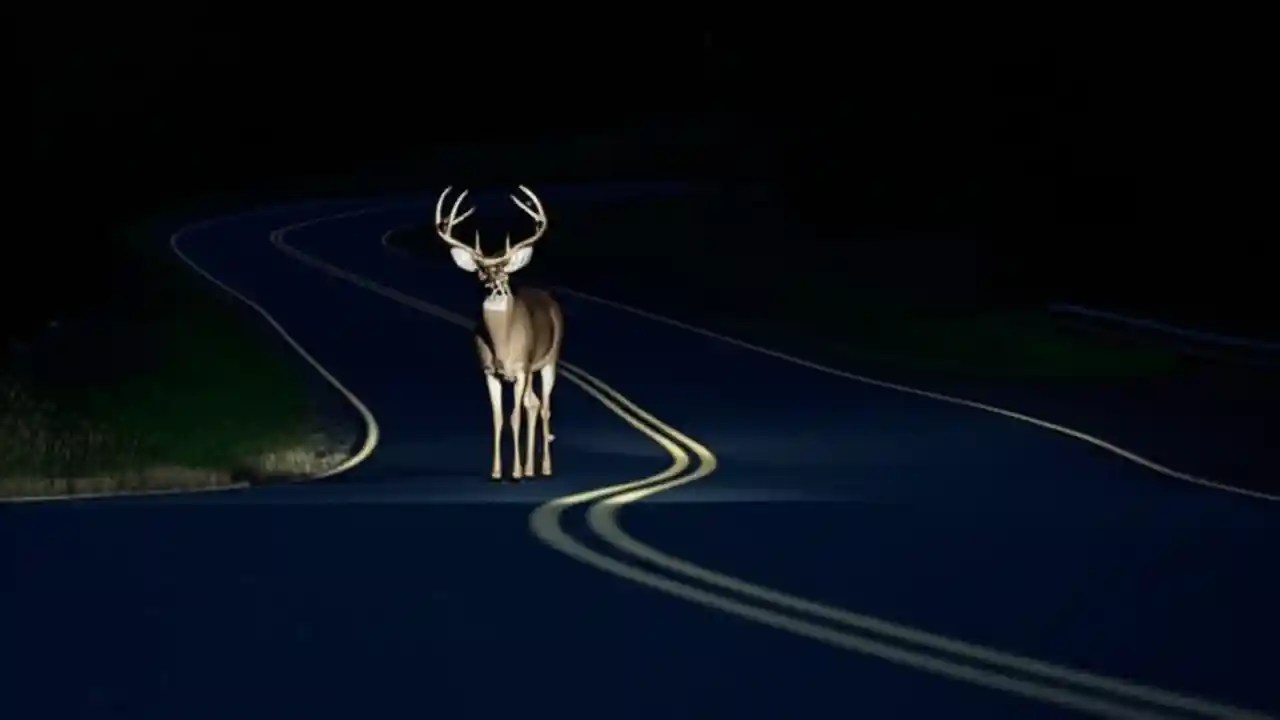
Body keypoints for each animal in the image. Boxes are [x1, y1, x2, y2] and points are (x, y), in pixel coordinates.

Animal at [434, 185, 565, 482]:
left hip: (549, 360)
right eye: (481, 271)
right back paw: (531, 468)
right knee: (533, 404)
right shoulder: (489, 371)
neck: (503, 346)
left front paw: (514, 472)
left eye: (504, 272)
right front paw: (496, 471)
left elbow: (515, 416)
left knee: (544, 407)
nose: (494, 284)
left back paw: (544, 468)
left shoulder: (522, 368)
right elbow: (498, 418)